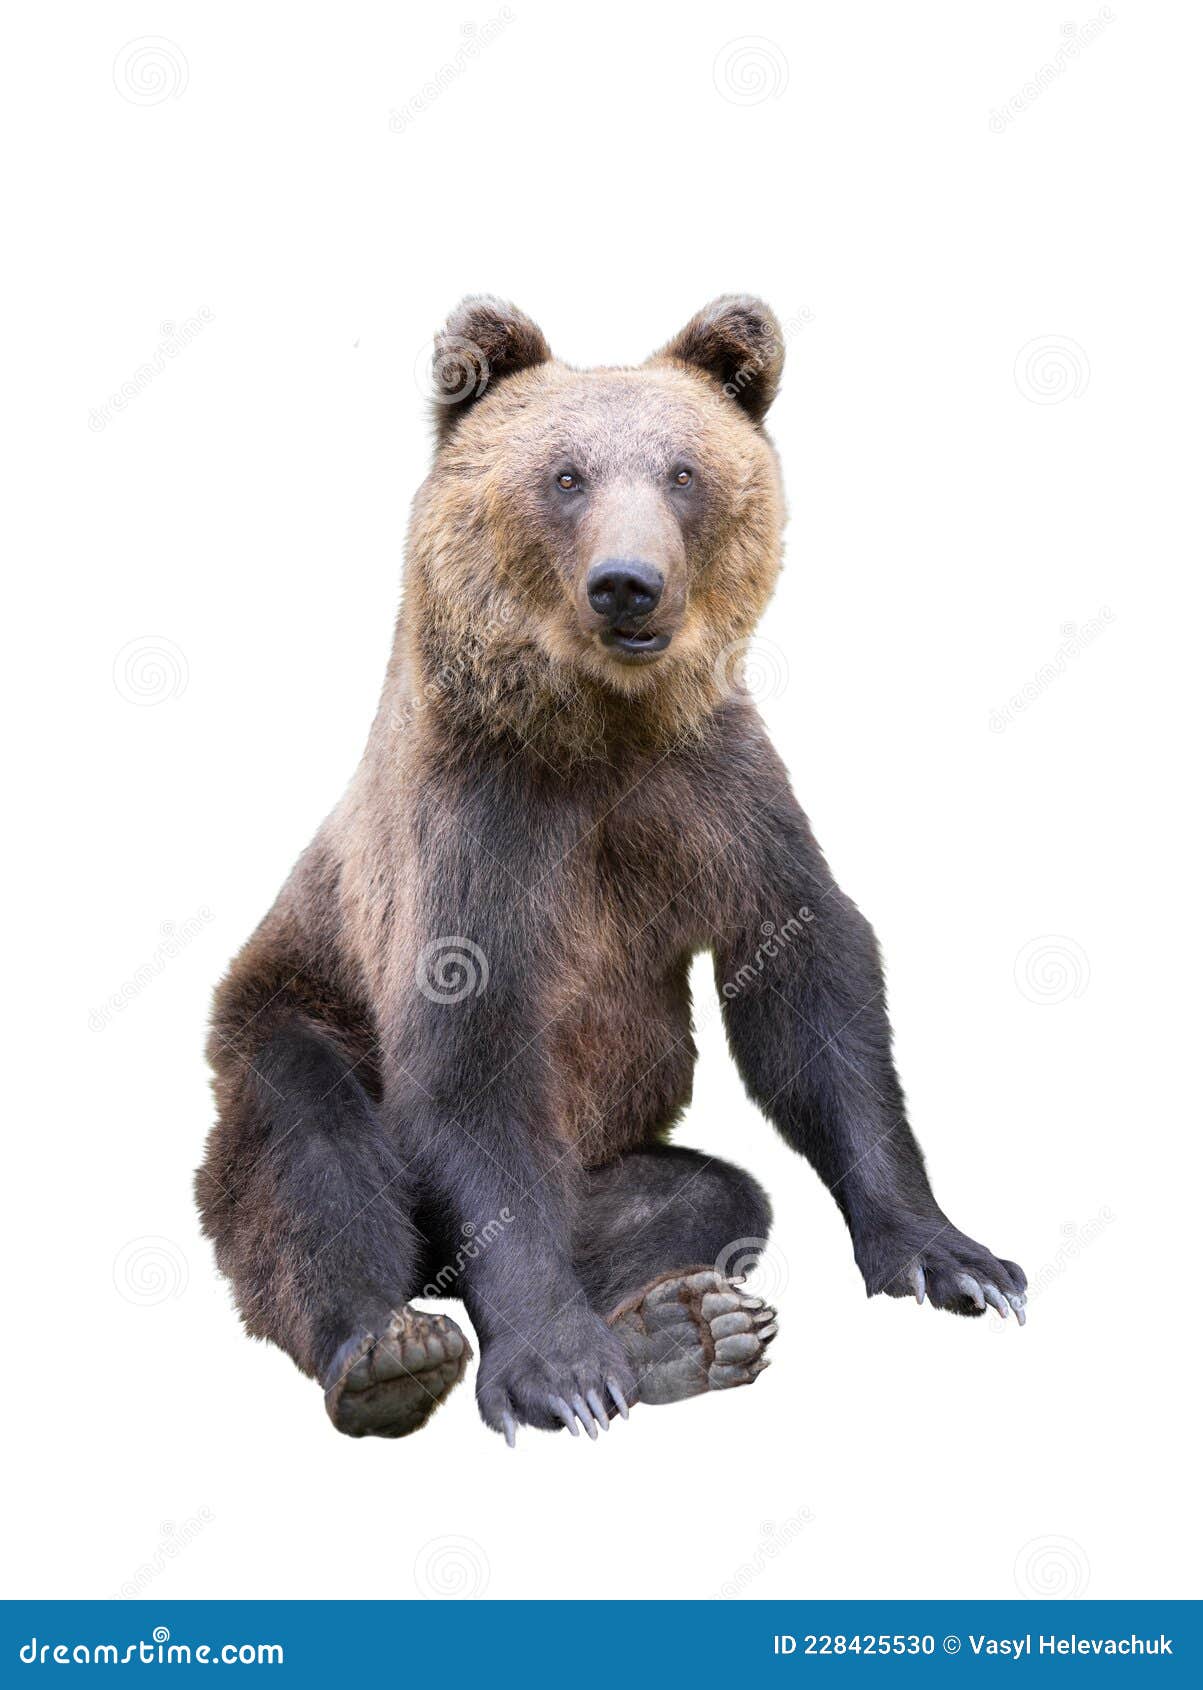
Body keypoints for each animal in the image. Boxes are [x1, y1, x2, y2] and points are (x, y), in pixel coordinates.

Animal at [196, 295, 1027, 1446]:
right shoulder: (478, 827)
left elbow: (811, 988)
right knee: (309, 1155)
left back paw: (679, 1330)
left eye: (683, 471)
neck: (596, 730)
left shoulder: (712, 794)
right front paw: (556, 1369)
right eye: (565, 475)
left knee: (706, 1200)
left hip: (598, 1160)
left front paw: (952, 1256)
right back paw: (389, 1351)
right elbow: (467, 1059)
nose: (627, 584)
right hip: (287, 1008)